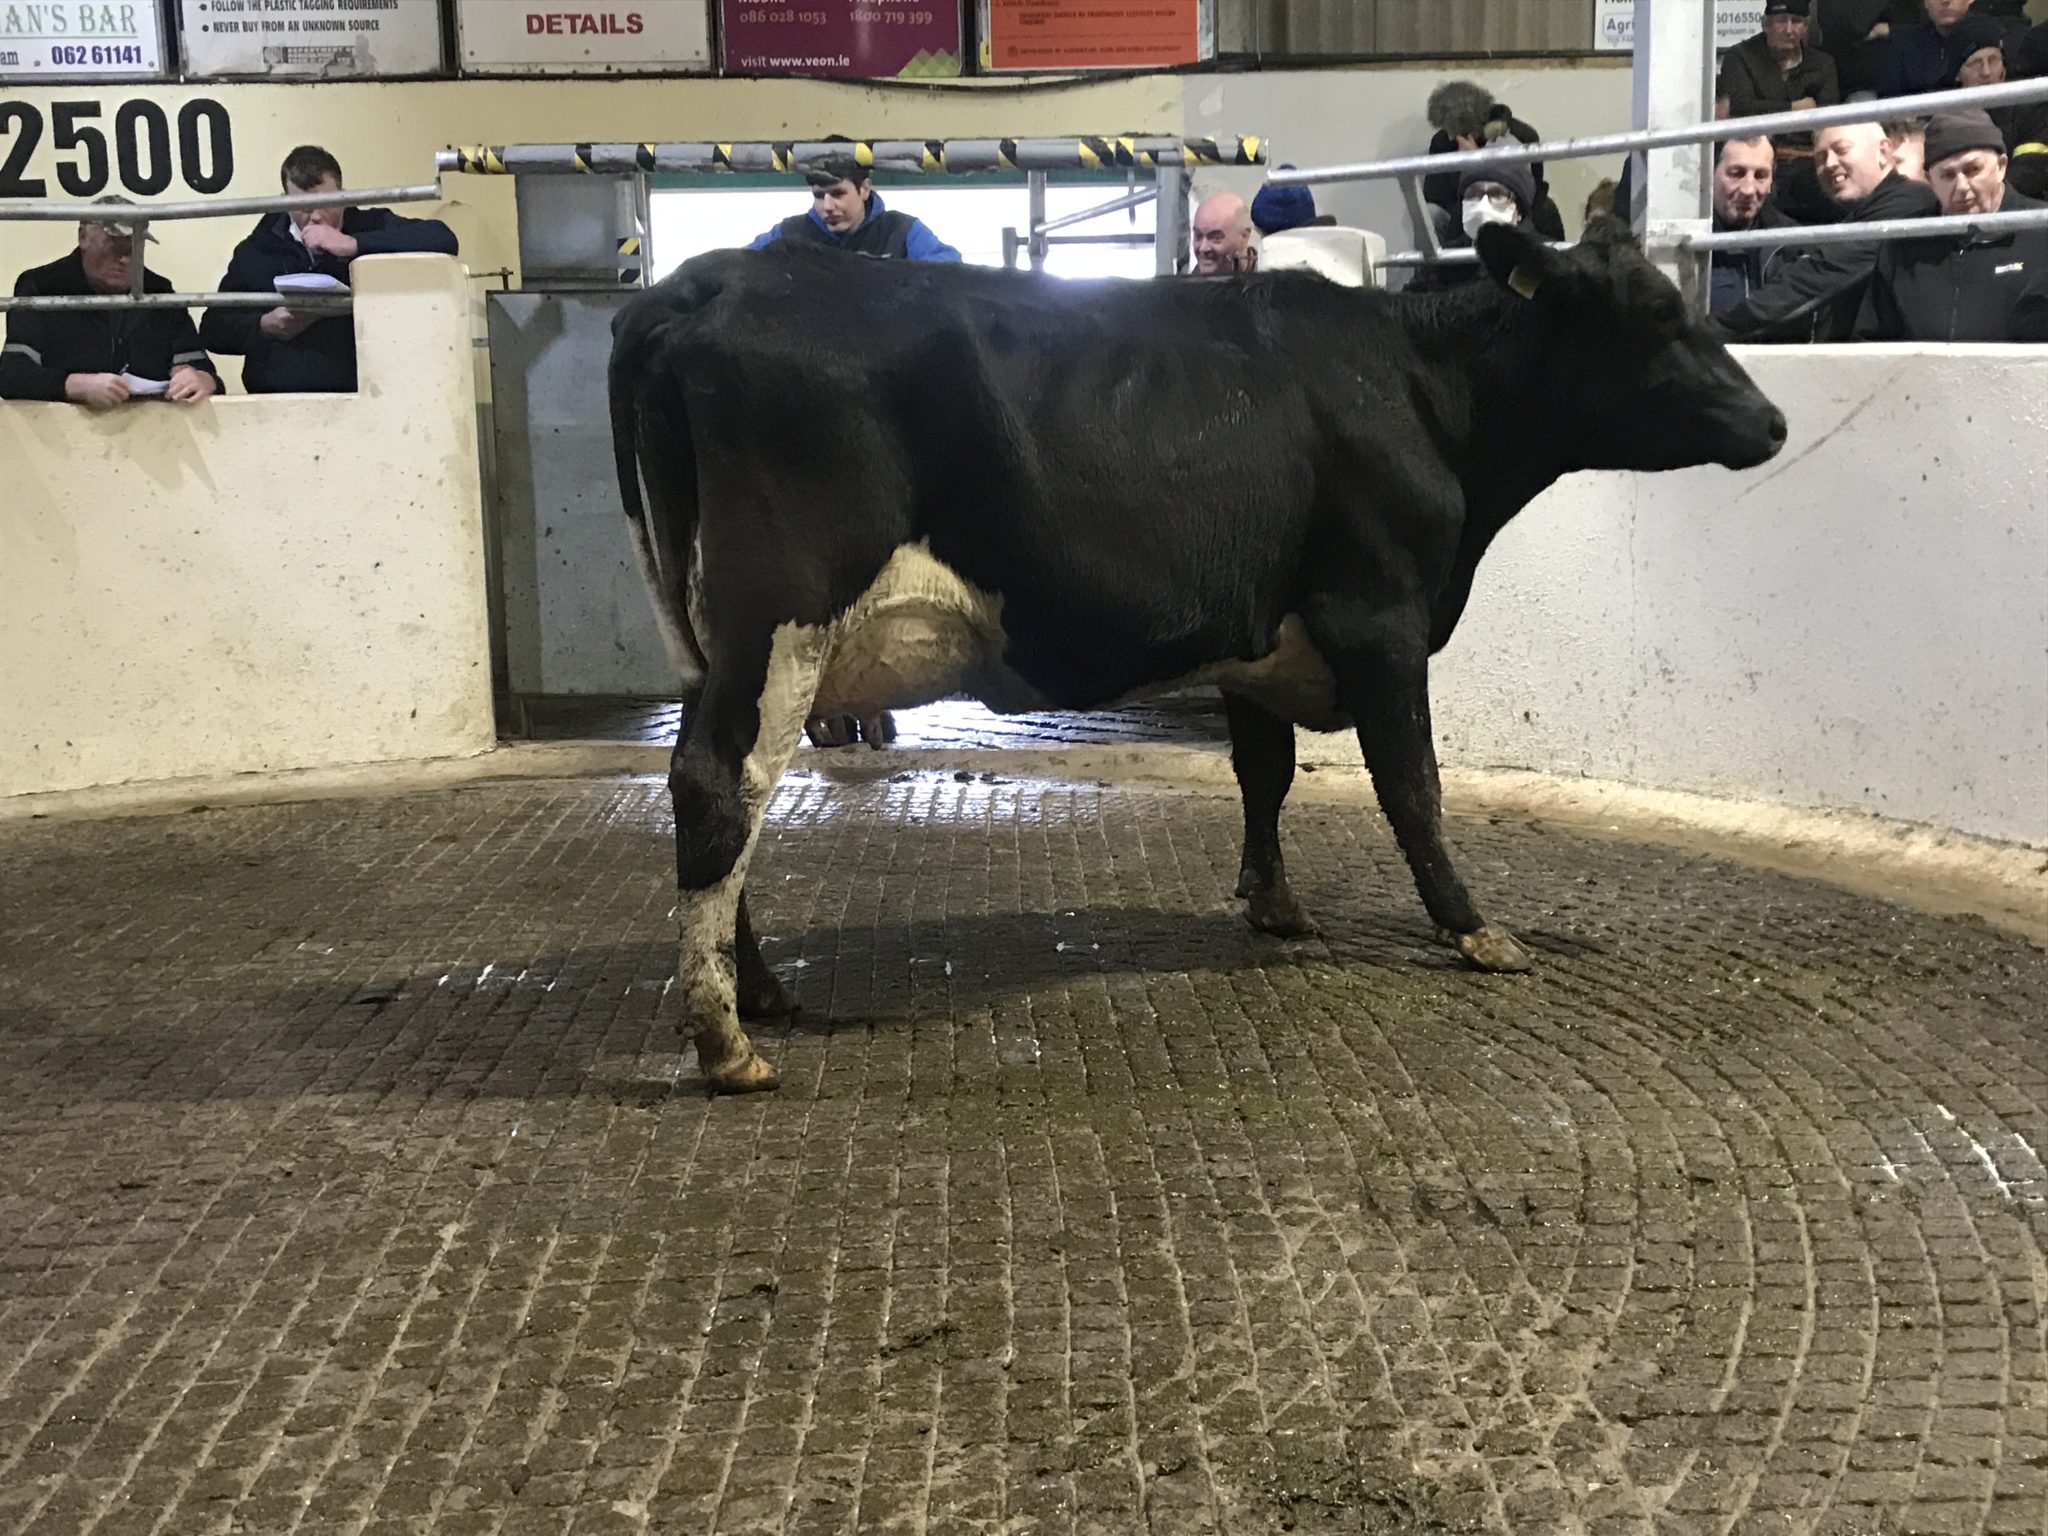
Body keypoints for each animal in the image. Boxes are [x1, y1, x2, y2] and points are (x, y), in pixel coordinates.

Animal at [609, 220, 1788, 1094]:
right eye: (1654, 315)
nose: (1772, 421)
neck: (1416, 385)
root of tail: (704, 282)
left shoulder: (1257, 637)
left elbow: (1264, 773)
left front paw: (1273, 904)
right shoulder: (1380, 614)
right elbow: (1412, 784)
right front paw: (1472, 928)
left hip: (698, 627)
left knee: (724, 792)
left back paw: (760, 991)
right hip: (780, 615)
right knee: (719, 780)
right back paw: (725, 1042)